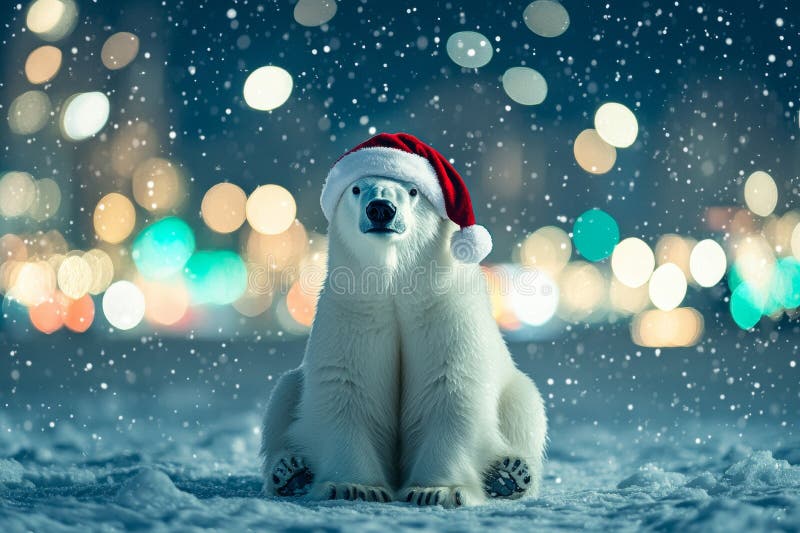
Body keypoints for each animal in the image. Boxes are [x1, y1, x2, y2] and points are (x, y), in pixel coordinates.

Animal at [260, 133, 547, 508]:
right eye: (356, 189)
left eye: (412, 191)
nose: (380, 208)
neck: (397, 283)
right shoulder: (354, 309)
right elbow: (346, 389)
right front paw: (355, 487)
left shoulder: (443, 309)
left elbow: (451, 388)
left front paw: (437, 490)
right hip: (292, 386)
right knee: (282, 396)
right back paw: (290, 471)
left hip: (516, 391)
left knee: (527, 405)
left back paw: (510, 474)